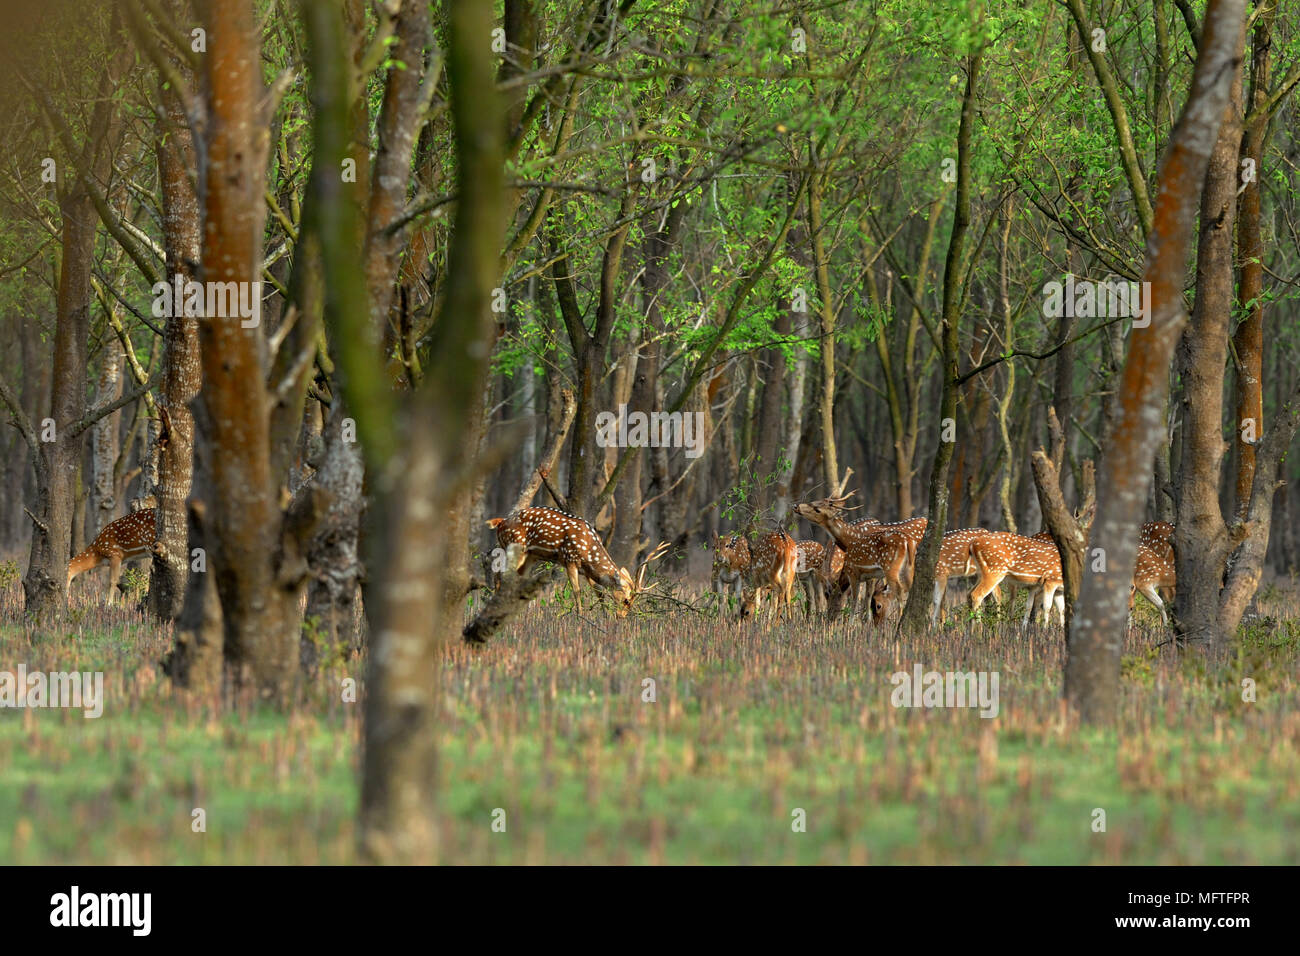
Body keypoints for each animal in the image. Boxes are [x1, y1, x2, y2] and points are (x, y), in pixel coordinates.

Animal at [486, 507, 667, 617]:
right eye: (626, 600)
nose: (621, 617)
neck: (589, 551)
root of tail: (500, 522)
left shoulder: (586, 570)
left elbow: (599, 592)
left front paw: (603, 615)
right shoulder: (570, 559)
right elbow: (577, 590)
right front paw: (580, 616)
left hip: (530, 556)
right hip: (514, 546)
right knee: (499, 576)